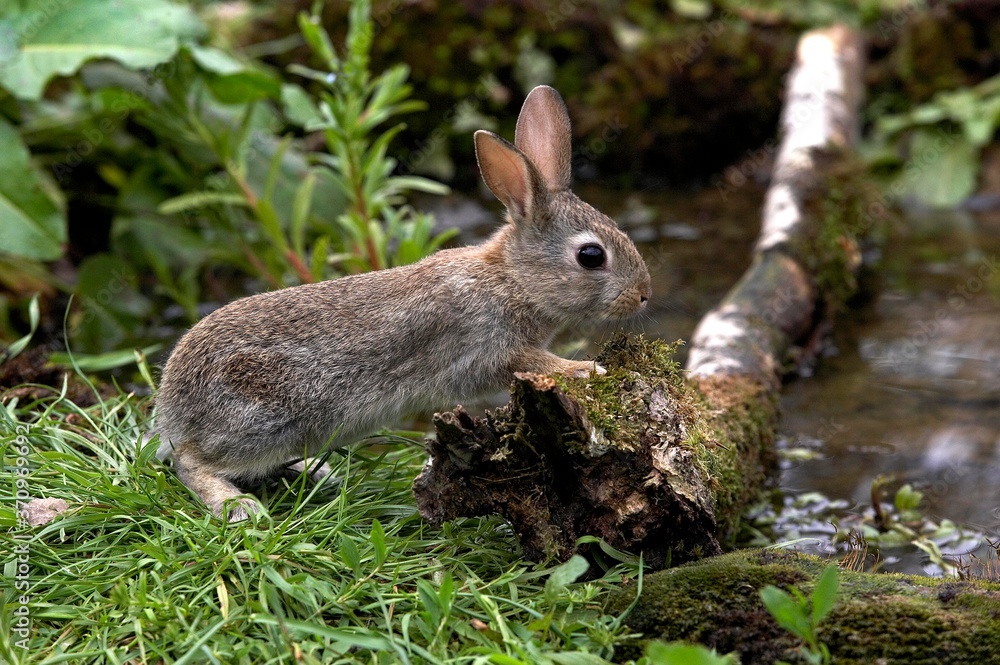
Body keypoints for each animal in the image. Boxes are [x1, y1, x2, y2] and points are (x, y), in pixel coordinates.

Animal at [152, 85, 652, 520]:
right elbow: (529, 363)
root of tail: (171, 409)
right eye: (591, 256)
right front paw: (586, 369)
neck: (513, 280)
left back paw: (315, 471)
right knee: (190, 463)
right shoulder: (485, 350)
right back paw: (237, 506)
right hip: (265, 419)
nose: (644, 293)